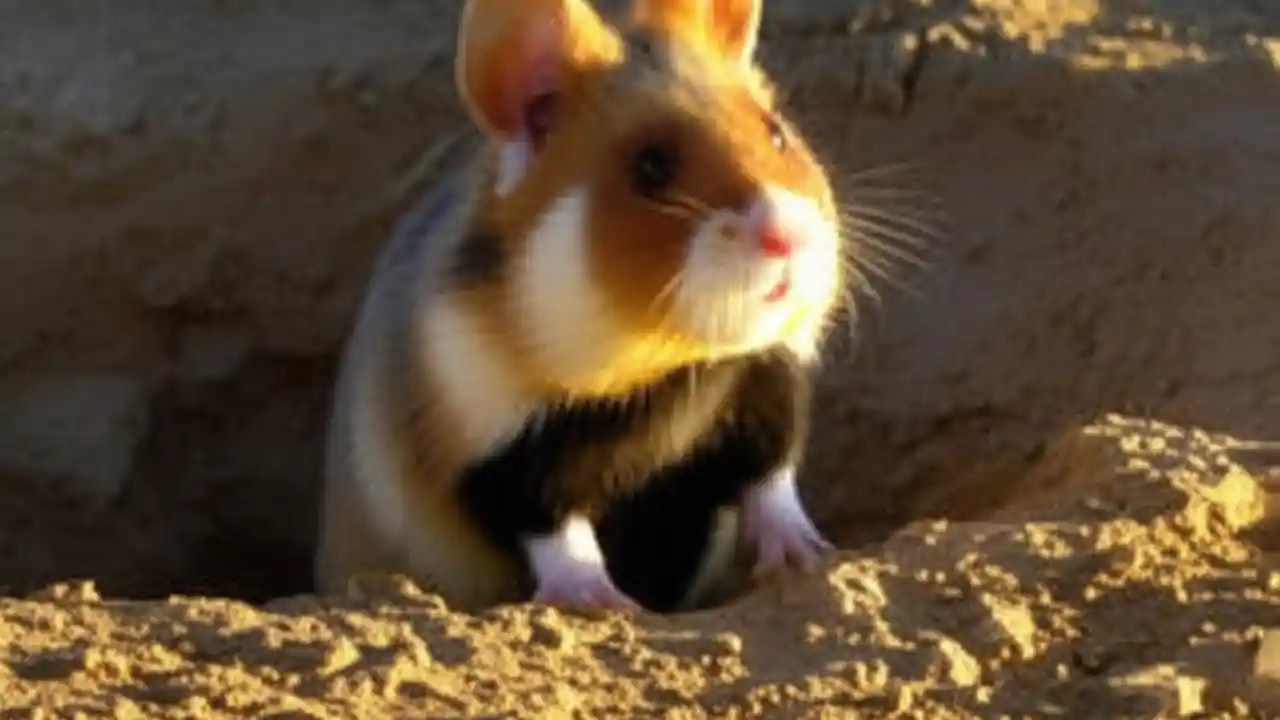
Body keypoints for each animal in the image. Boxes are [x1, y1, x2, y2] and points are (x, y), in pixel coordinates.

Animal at [314, 0, 847, 614]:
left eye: (777, 133)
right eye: (651, 169)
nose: (789, 238)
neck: (668, 364)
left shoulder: (767, 379)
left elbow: (771, 477)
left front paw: (807, 554)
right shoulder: (501, 449)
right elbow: (555, 532)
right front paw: (601, 601)